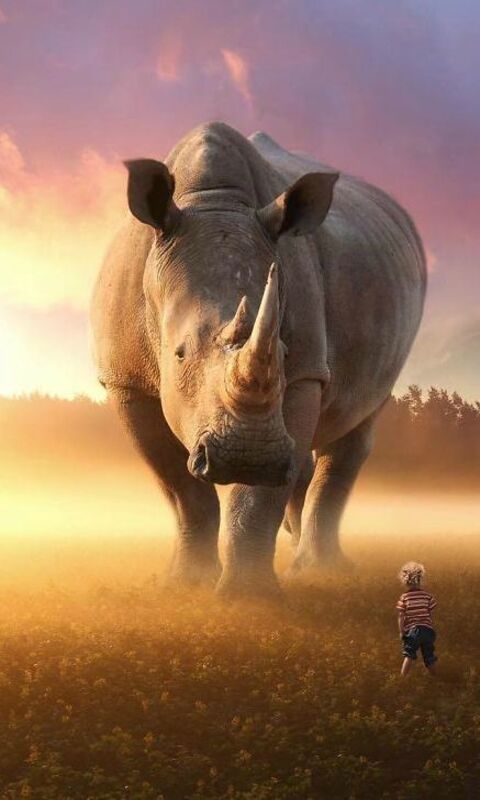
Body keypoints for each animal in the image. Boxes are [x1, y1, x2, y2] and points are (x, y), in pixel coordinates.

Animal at [90, 122, 426, 597]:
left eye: (282, 353)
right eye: (179, 354)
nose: (249, 455)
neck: (211, 201)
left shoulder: (303, 371)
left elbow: (258, 495)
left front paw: (246, 597)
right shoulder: (125, 380)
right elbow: (179, 487)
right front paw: (187, 584)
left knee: (357, 423)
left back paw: (322, 571)